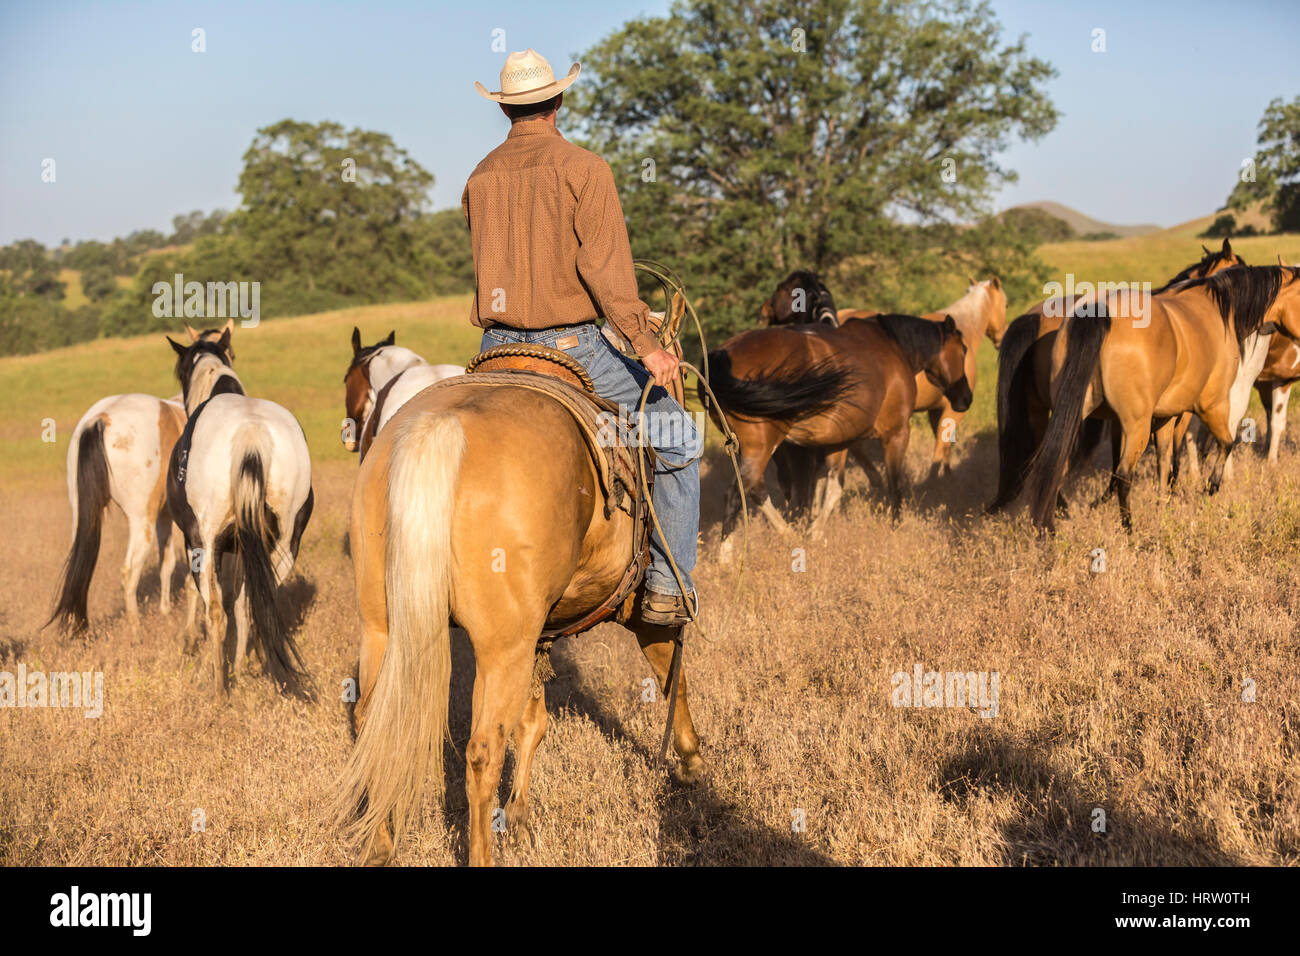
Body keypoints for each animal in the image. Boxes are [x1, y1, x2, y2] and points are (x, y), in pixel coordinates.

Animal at [48, 323, 233, 633]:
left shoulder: (166, 516)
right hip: (140, 520)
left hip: (82, 515)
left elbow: (167, 562)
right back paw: (134, 628)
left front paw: (165, 610)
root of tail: (100, 418)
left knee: (79, 564)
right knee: (129, 571)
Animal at [166, 327, 315, 699]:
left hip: (206, 543)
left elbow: (199, 595)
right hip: (284, 546)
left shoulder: (194, 540)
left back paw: (220, 688)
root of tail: (252, 433)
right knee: (254, 604)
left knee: (218, 611)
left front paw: (193, 648)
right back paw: (256, 666)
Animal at [337, 365, 705, 866]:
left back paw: (379, 845)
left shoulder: (537, 633)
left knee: (374, 723)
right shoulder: (640, 613)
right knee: (483, 751)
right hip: (501, 649)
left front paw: (519, 816)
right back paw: (480, 855)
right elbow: (673, 676)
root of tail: (437, 429)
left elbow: (533, 722)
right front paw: (691, 762)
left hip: (382, 629)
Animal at [702, 313, 971, 536]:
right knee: (737, 494)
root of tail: (722, 354)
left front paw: (814, 532)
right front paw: (896, 525)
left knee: (757, 491)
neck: (891, 347)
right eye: (963, 351)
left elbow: (833, 489)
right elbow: (894, 484)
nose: (966, 398)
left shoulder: (839, 441)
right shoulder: (897, 434)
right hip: (760, 449)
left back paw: (789, 535)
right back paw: (728, 559)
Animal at [1022, 265, 1300, 531]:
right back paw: (1128, 529)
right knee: (1123, 475)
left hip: (1077, 417)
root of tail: (1099, 310)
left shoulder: (1167, 416)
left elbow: (1164, 462)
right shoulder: (1211, 405)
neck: (1221, 310)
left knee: (1057, 467)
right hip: (1137, 426)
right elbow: (1226, 443)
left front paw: (1163, 505)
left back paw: (1050, 526)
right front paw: (1210, 488)